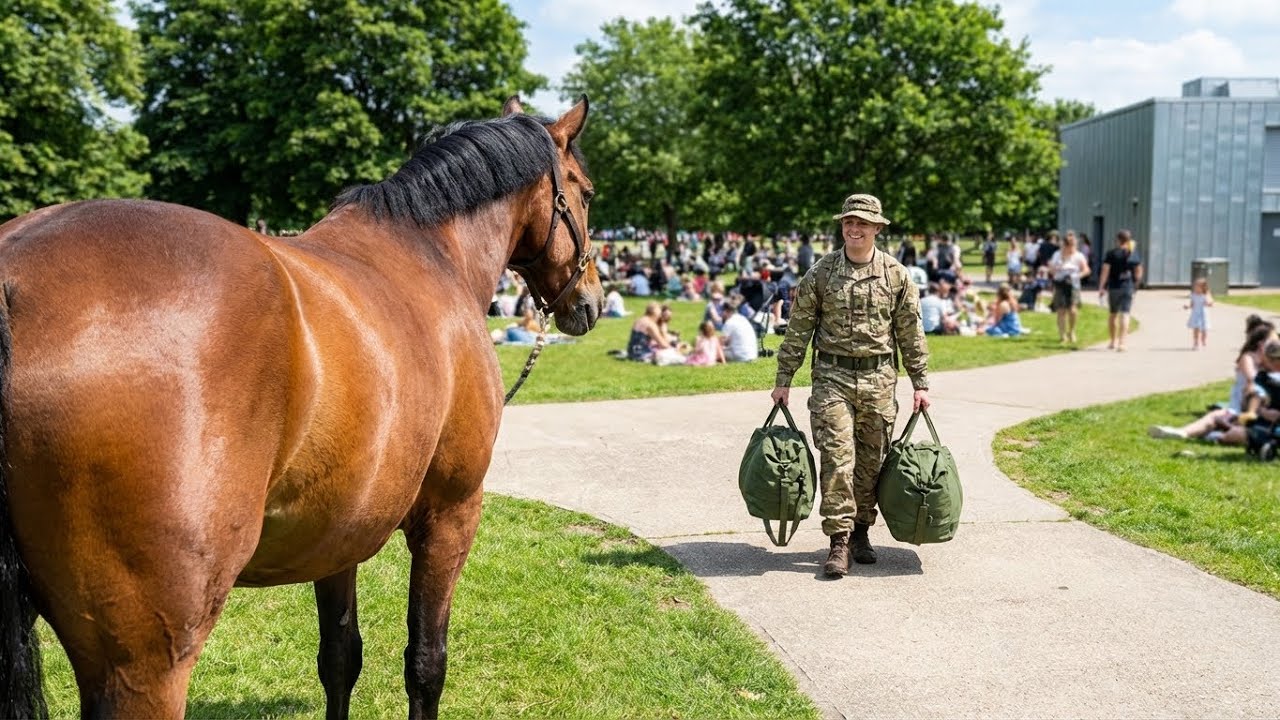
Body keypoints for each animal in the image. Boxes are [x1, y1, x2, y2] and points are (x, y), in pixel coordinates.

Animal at [0, 96, 600, 719]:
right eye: (586, 192)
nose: (590, 300)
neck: (431, 254)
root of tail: (14, 274)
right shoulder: (450, 513)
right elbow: (426, 663)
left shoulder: (339, 529)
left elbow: (339, 658)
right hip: (145, 662)